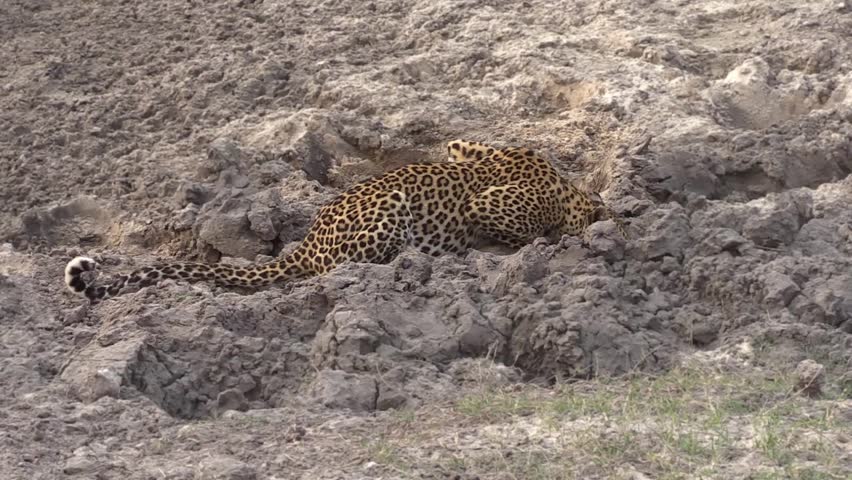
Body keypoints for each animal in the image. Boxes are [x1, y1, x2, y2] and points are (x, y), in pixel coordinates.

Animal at [65, 140, 628, 303]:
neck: (565, 186)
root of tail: (308, 239)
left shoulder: (468, 146)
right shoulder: (487, 204)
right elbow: (525, 229)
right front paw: (535, 242)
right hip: (390, 208)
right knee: (344, 267)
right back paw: (412, 262)